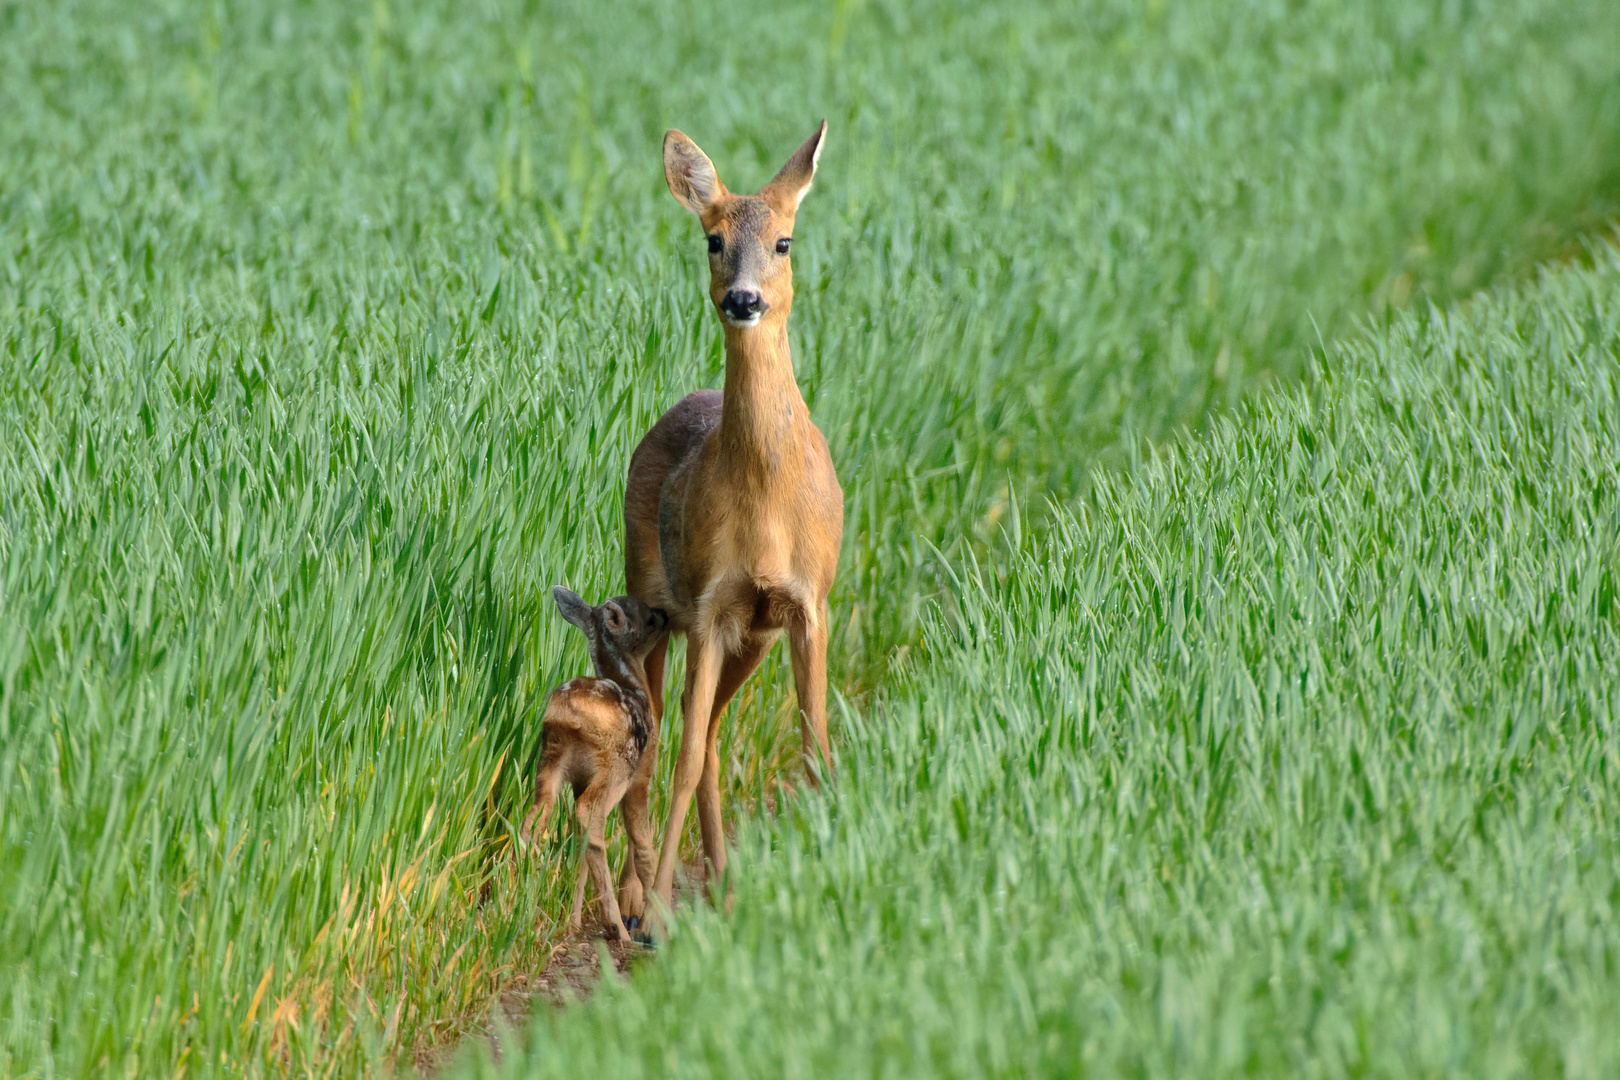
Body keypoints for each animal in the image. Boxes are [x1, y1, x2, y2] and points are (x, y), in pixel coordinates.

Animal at [520, 586, 668, 943]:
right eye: (648, 616)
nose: (666, 616)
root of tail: (569, 713)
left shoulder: (578, 781)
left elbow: (582, 853)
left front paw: (573, 922)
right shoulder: (641, 775)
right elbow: (643, 846)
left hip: (551, 762)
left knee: (539, 817)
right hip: (616, 767)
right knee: (589, 816)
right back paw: (618, 927)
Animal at [614, 121, 844, 921]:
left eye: (784, 241)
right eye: (712, 239)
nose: (743, 299)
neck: (769, 509)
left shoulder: (805, 603)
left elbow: (814, 742)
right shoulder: (711, 606)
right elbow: (680, 759)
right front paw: (655, 909)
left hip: (752, 637)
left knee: (709, 730)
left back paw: (720, 879)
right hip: (652, 601)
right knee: (664, 737)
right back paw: (640, 896)